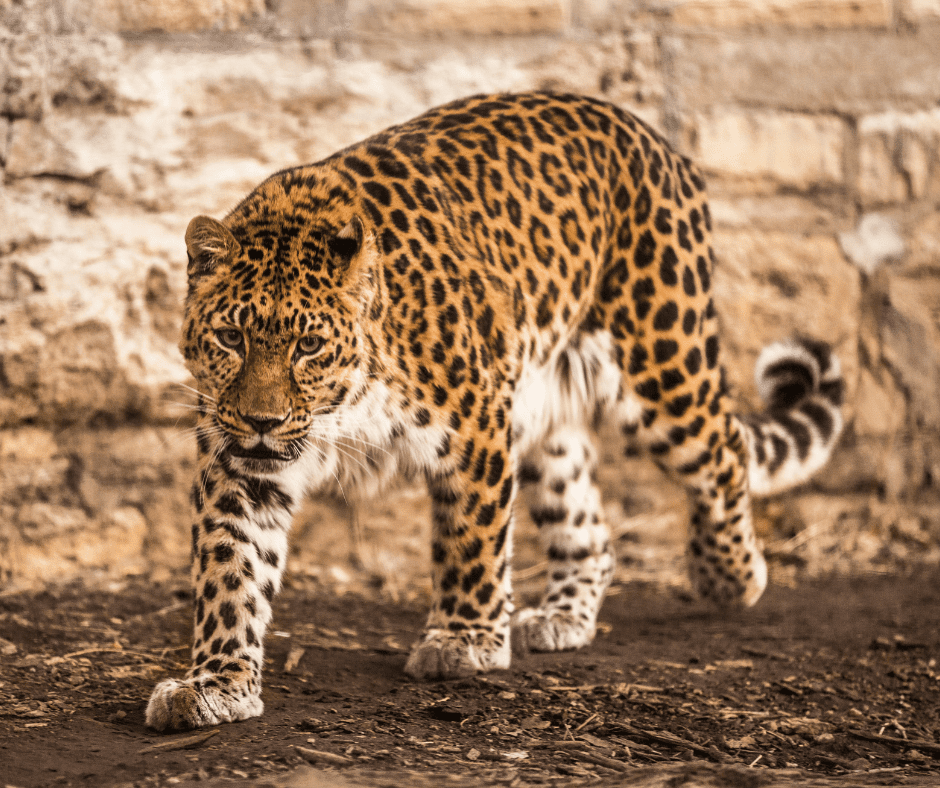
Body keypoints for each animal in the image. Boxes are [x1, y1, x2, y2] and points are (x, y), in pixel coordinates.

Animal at [146, 91, 844, 731]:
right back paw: (561, 617)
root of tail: (649, 135)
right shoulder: (240, 464)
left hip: (663, 360)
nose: (263, 421)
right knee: (589, 528)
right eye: (231, 338)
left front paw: (465, 640)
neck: (345, 404)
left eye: (309, 346)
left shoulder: (474, 422)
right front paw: (215, 684)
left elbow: (471, 538)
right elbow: (231, 571)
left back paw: (731, 576)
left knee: (724, 450)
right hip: (544, 408)